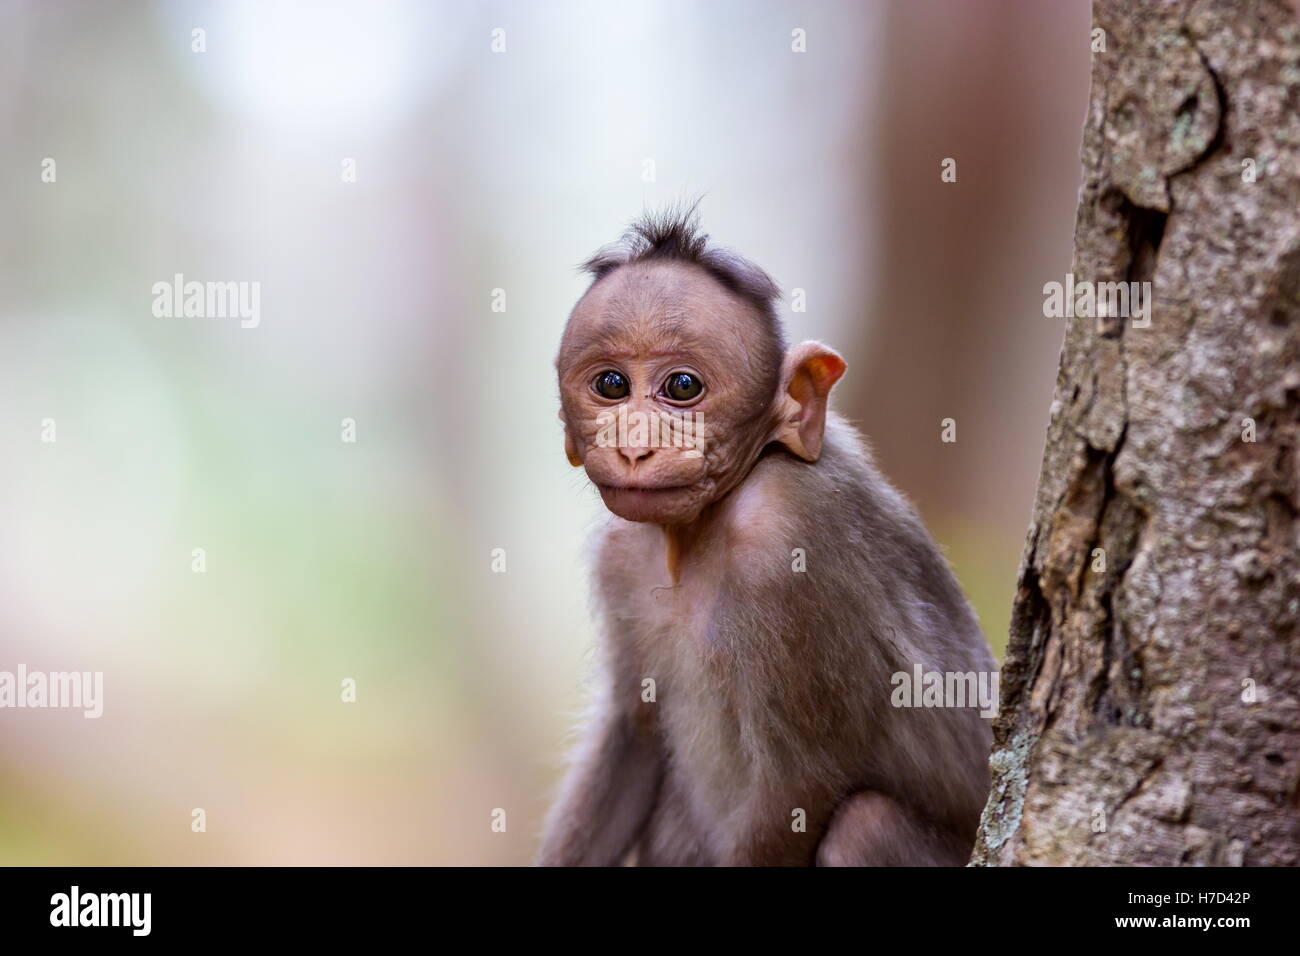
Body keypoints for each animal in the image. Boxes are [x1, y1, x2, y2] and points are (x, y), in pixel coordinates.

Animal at [538, 208, 994, 866]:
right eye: (611, 385)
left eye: (682, 387)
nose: (634, 445)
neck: (700, 532)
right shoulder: (619, 557)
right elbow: (633, 733)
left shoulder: (785, 542)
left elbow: (801, 786)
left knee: (864, 825)